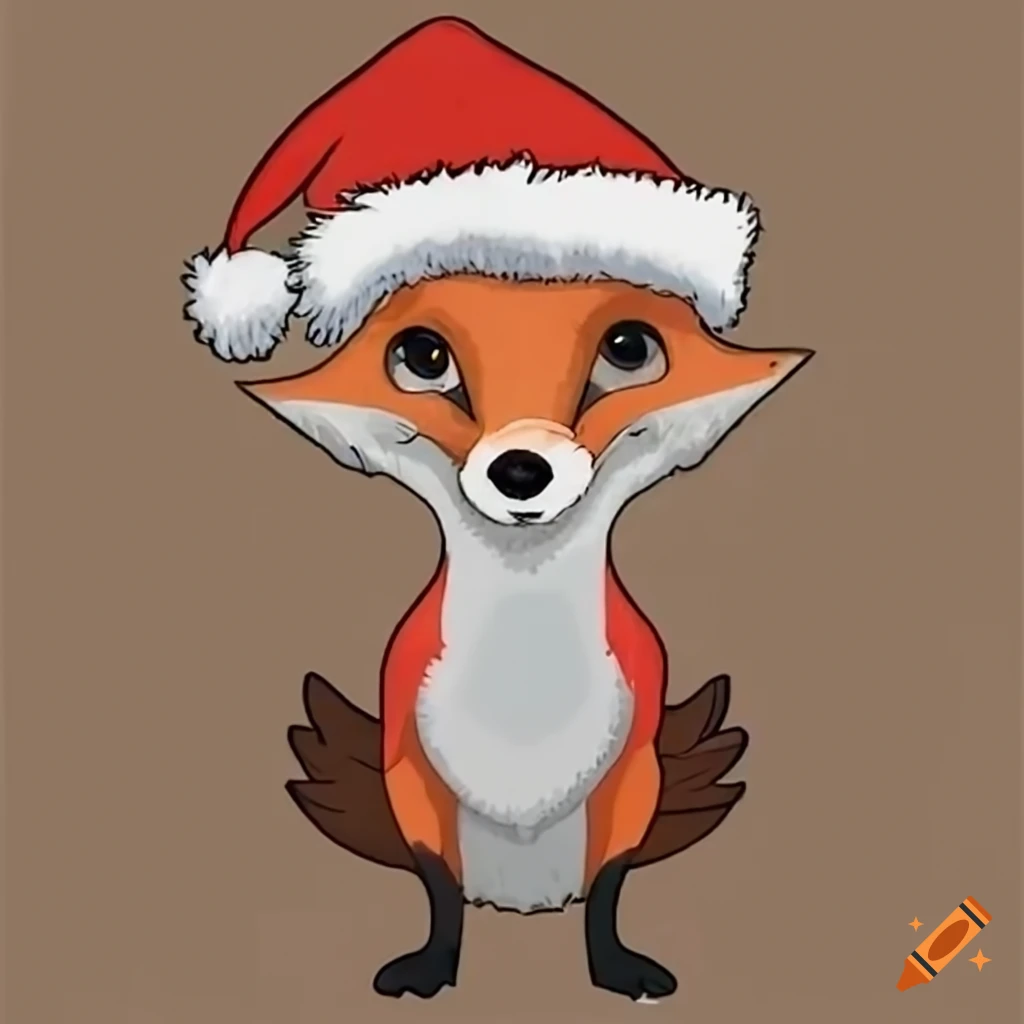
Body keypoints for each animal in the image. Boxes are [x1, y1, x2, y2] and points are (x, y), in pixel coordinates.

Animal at [181, 16, 812, 1005]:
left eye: (628, 348)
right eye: (423, 357)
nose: (521, 469)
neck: (524, 681)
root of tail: (522, 901)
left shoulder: (633, 772)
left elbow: (610, 889)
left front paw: (615, 968)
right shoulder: (410, 767)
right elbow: (437, 888)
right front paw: (431, 967)